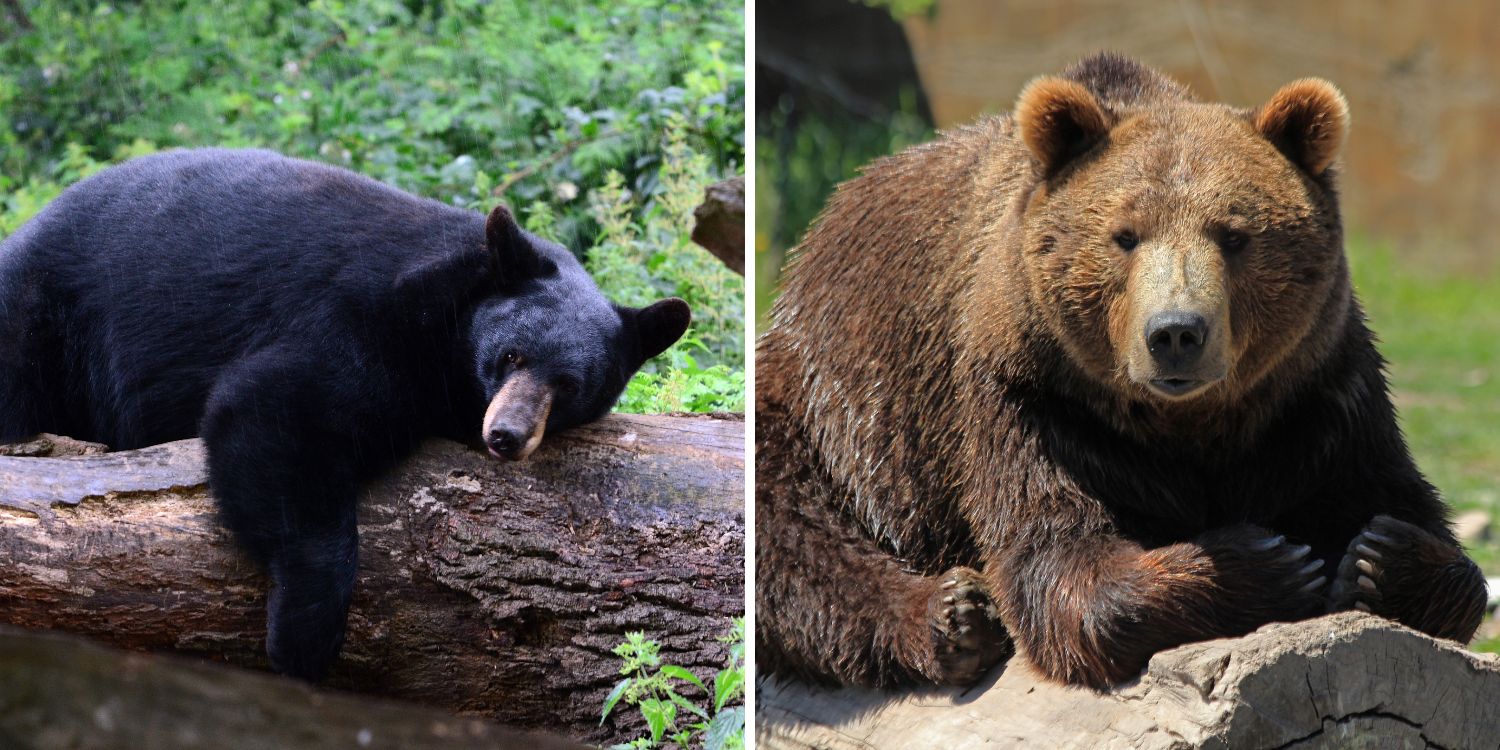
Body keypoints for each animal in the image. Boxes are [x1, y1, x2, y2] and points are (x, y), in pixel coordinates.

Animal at [0, 148, 690, 681]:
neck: (448, 312)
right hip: (45, 314)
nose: (506, 435)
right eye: (510, 354)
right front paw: (303, 639)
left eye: (569, 385)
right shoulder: (365, 317)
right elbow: (275, 408)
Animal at [755, 53, 1488, 691]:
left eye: (1234, 234)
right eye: (1125, 236)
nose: (1176, 333)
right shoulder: (1033, 400)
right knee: (790, 526)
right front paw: (1270, 562)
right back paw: (953, 615)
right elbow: (1064, 564)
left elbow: (1407, 512)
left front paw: (1380, 556)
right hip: (830, 405)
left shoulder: (1317, 393)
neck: (1188, 425)